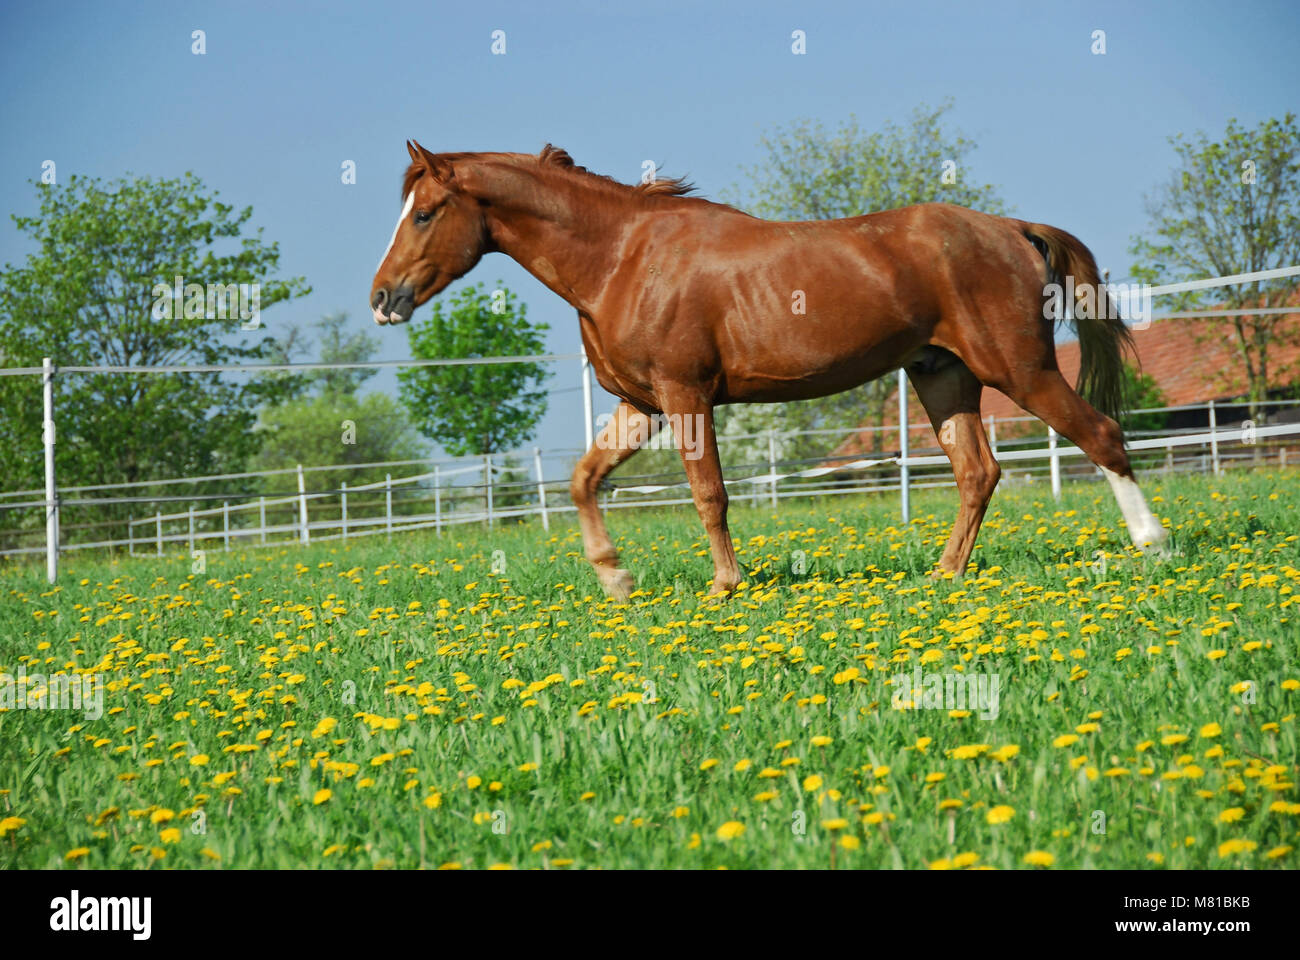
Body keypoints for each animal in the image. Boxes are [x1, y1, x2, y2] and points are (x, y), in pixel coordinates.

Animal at [371, 140, 1168, 598]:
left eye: (425, 212)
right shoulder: (640, 406)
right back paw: (944, 575)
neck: (622, 257)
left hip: (1019, 370)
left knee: (1101, 436)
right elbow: (582, 481)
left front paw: (724, 586)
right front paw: (616, 578)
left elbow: (710, 495)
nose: (383, 299)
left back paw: (1151, 545)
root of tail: (1012, 230)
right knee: (979, 472)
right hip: (943, 376)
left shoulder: (686, 396)